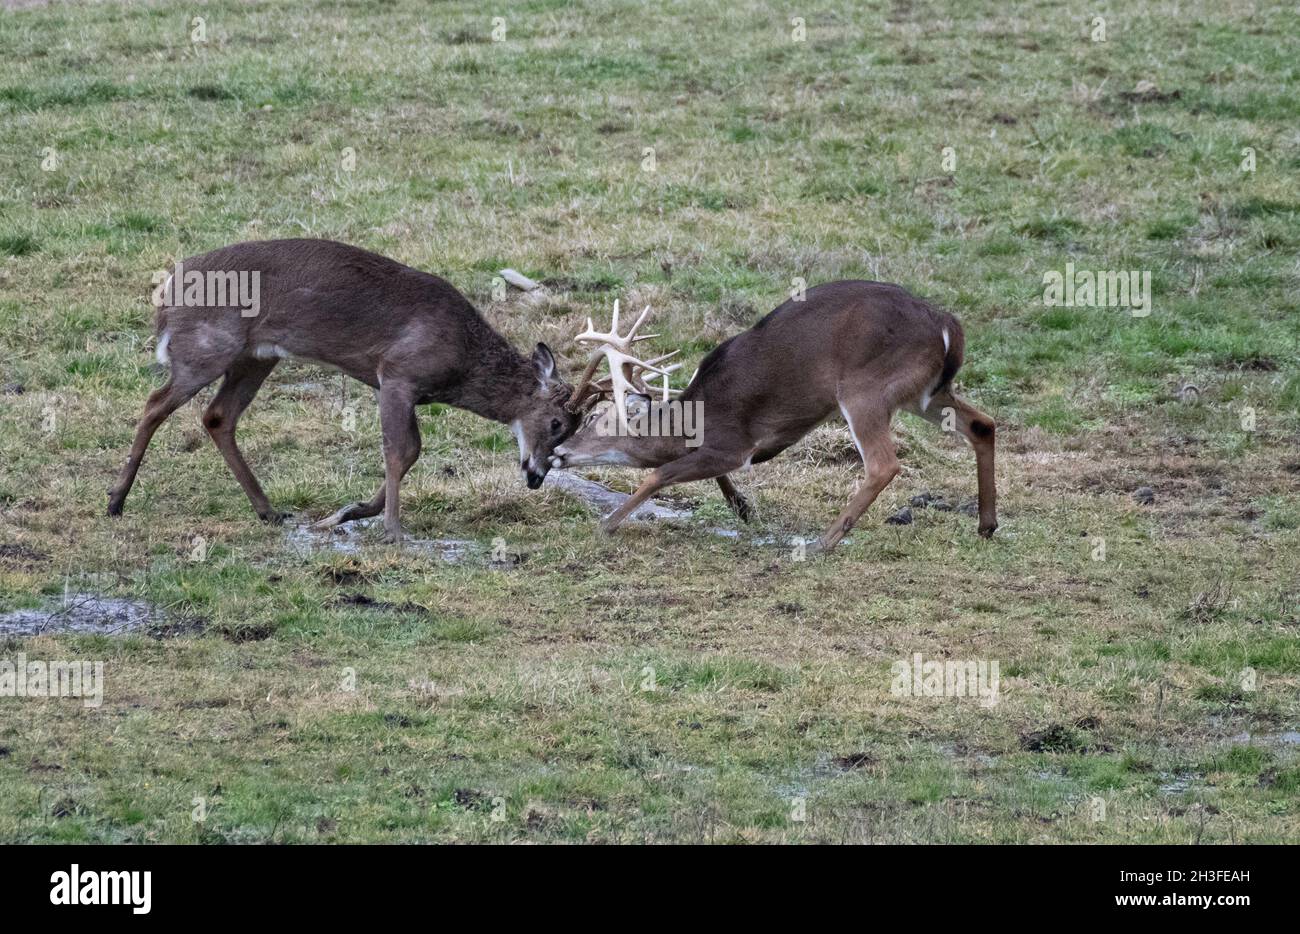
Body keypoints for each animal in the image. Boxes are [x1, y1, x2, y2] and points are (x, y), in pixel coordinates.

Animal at [107, 238, 582, 542]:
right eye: (557, 422)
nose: (536, 477)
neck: (461, 359)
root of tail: (166, 295)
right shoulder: (396, 373)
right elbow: (399, 451)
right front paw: (393, 530)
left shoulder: (407, 389)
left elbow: (413, 451)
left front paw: (351, 512)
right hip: (206, 350)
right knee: (155, 404)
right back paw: (115, 501)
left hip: (256, 357)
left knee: (218, 415)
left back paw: (269, 511)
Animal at [549, 281, 997, 553]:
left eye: (596, 420)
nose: (556, 452)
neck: (692, 418)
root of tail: (947, 325)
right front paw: (742, 508)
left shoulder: (733, 444)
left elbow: (660, 473)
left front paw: (606, 524)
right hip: (924, 393)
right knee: (982, 424)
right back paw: (986, 525)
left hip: (865, 389)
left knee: (883, 464)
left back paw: (823, 542)